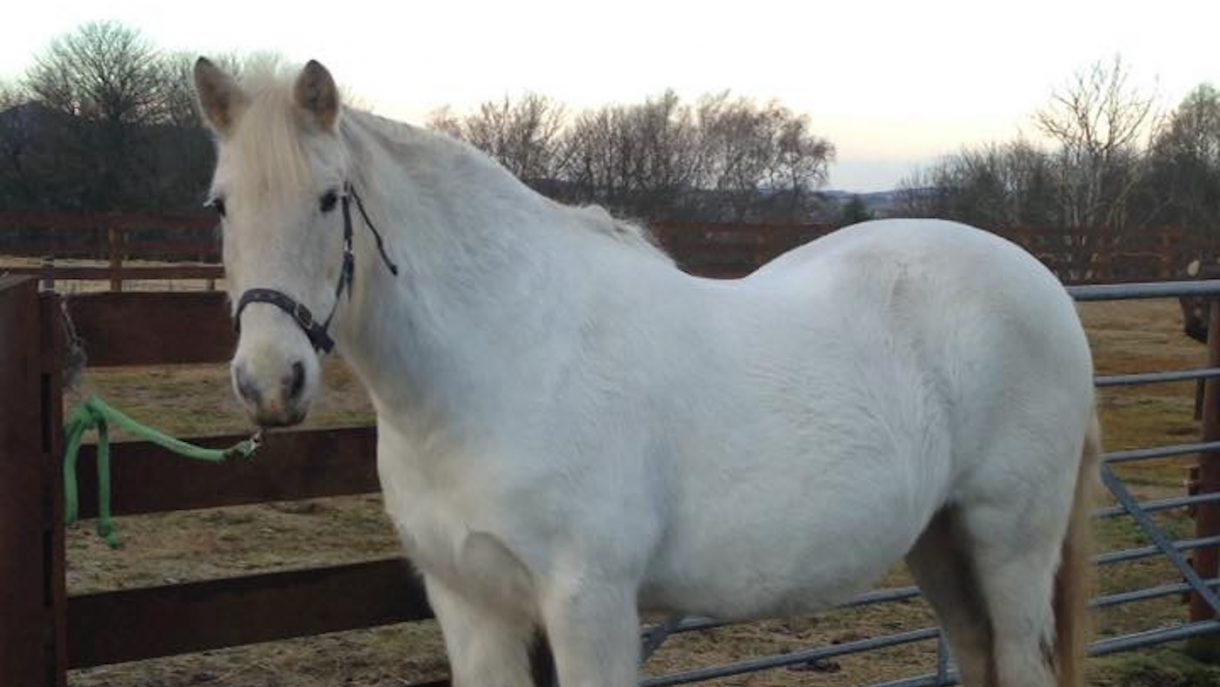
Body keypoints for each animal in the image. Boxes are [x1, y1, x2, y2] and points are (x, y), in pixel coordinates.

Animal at [193, 58, 1099, 687]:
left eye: (328, 198)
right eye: (220, 205)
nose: (271, 382)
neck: (505, 359)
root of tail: (1045, 287)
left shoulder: (588, 603)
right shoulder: (469, 603)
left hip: (1010, 540)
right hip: (939, 537)